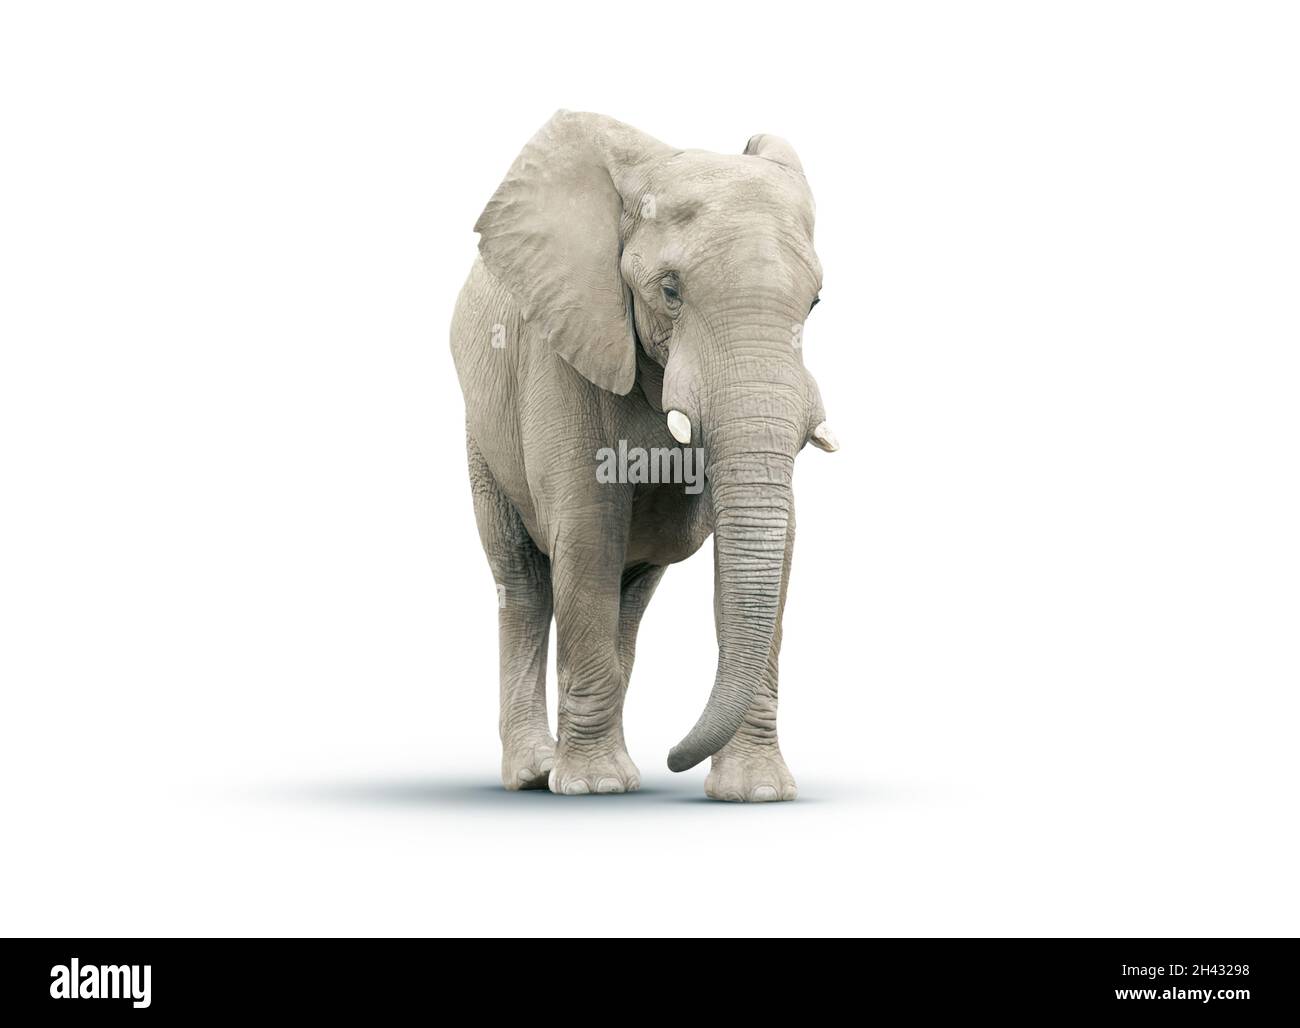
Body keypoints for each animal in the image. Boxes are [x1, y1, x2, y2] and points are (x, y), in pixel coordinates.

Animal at [450, 111, 837, 801]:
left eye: (815, 302)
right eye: (671, 291)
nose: (674, 758)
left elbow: (780, 541)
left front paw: (758, 794)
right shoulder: (566, 340)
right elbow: (587, 528)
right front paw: (592, 787)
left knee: (628, 592)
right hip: (482, 429)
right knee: (523, 579)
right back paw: (538, 774)